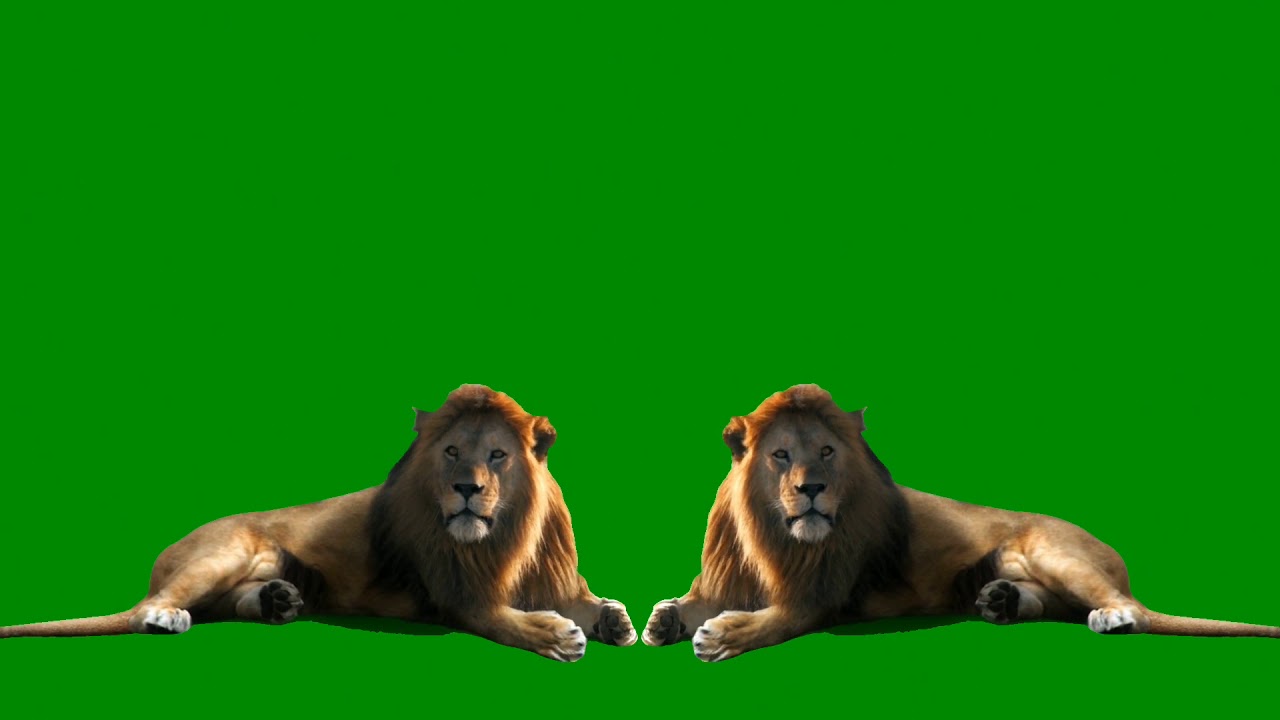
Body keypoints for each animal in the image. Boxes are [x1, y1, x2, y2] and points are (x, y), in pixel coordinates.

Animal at [0, 385, 636, 660]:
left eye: (498, 456)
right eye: (453, 452)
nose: (466, 489)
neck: (508, 536)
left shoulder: (551, 578)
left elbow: (589, 602)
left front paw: (614, 619)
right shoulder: (459, 597)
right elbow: (504, 620)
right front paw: (554, 635)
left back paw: (277, 601)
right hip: (224, 552)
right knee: (148, 609)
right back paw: (165, 617)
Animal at [642, 384, 1279, 661]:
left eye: (825, 452)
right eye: (780, 456)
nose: (812, 489)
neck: (770, 536)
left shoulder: (819, 596)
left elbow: (775, 621)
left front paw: (724, 635)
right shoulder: (729, 579)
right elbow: (689, 603)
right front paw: (664, 619)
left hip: (1055, 552)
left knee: (1129, 608)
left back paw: (1112, 617)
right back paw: (1001, 601)